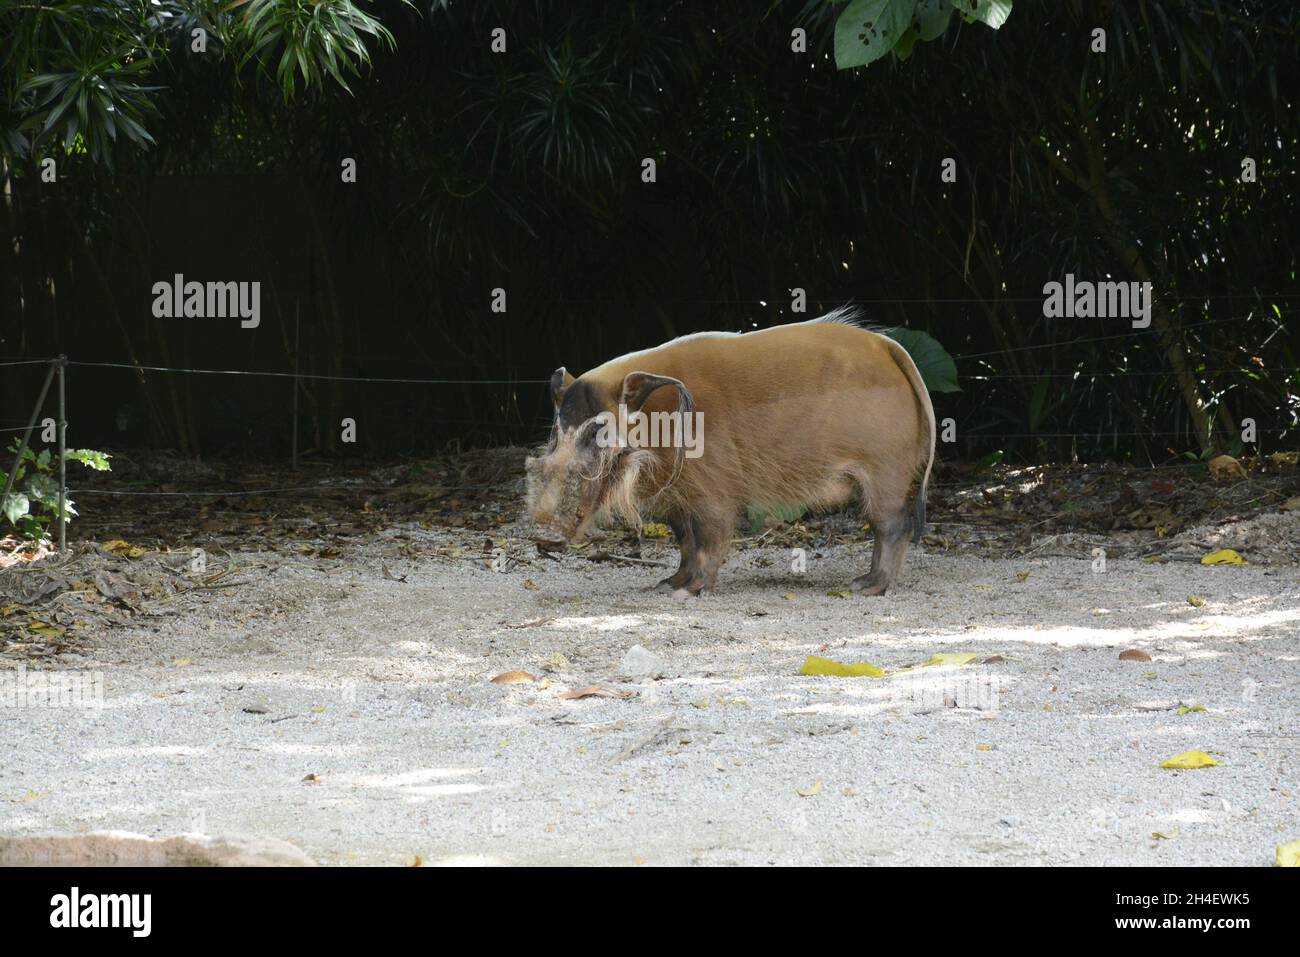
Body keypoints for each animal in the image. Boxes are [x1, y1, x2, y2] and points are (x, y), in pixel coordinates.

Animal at [524, 307, 936, 597]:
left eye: (599, 433)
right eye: (555, 436)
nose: (545, 535)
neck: (657, 422)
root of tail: (890, 348)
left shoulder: (713, 488)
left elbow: (711, 536)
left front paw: (689, 593)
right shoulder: (677, 496)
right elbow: (685, 539)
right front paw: (668, 584)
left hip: (885, 469)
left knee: (893, 524)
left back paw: (866, 586)